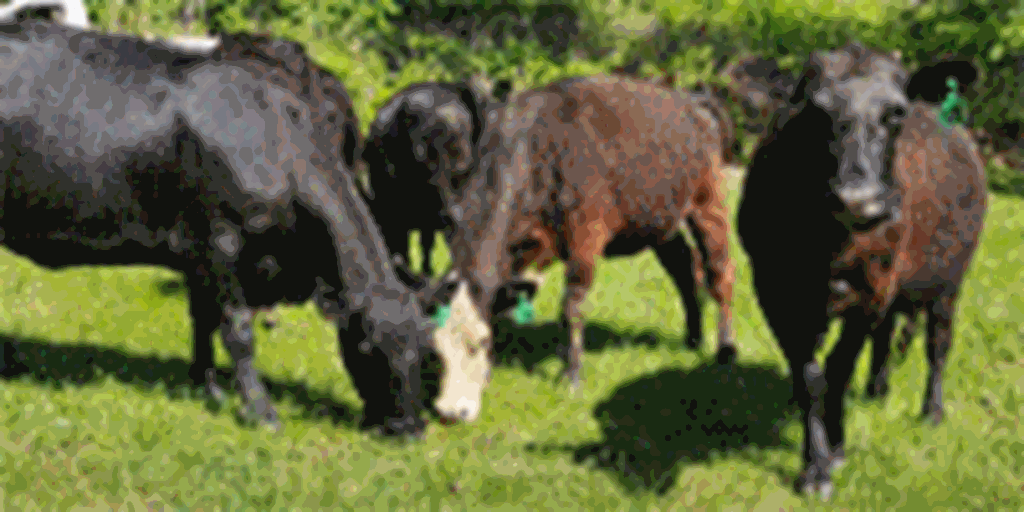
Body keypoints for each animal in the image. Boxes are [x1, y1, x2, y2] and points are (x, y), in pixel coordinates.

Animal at [0, 12, 438, 437]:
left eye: (427, 352)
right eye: (368, 349)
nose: (409, 430)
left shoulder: (196, 251)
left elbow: (203, 319)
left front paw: (205, 387)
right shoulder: (220, 239)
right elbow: (237, 330)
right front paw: (260, 411)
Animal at [420, 74, 739, 401]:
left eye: (476, 345)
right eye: (435, 352)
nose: (448, 405)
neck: (537, 150)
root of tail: (694, 100)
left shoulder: (585, 240)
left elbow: (570, 306)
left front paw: (571, 374)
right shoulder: (520, 248)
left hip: (708, 206)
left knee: (719, 273)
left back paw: (725, 350)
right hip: (661, 223)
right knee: (685, 270)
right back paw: (693, 338)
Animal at [735, 43, 987, 498]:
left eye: (897, 112)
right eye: (814, 109)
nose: (860, 200)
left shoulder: (870, 292)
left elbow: (838, 369)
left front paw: (834, 450)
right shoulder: (774, 290)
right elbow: (809, 377)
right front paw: (815, 466)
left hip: (949, 281)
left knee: (937, 345)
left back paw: (932, 410)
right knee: (886, 338)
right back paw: (876, 390)